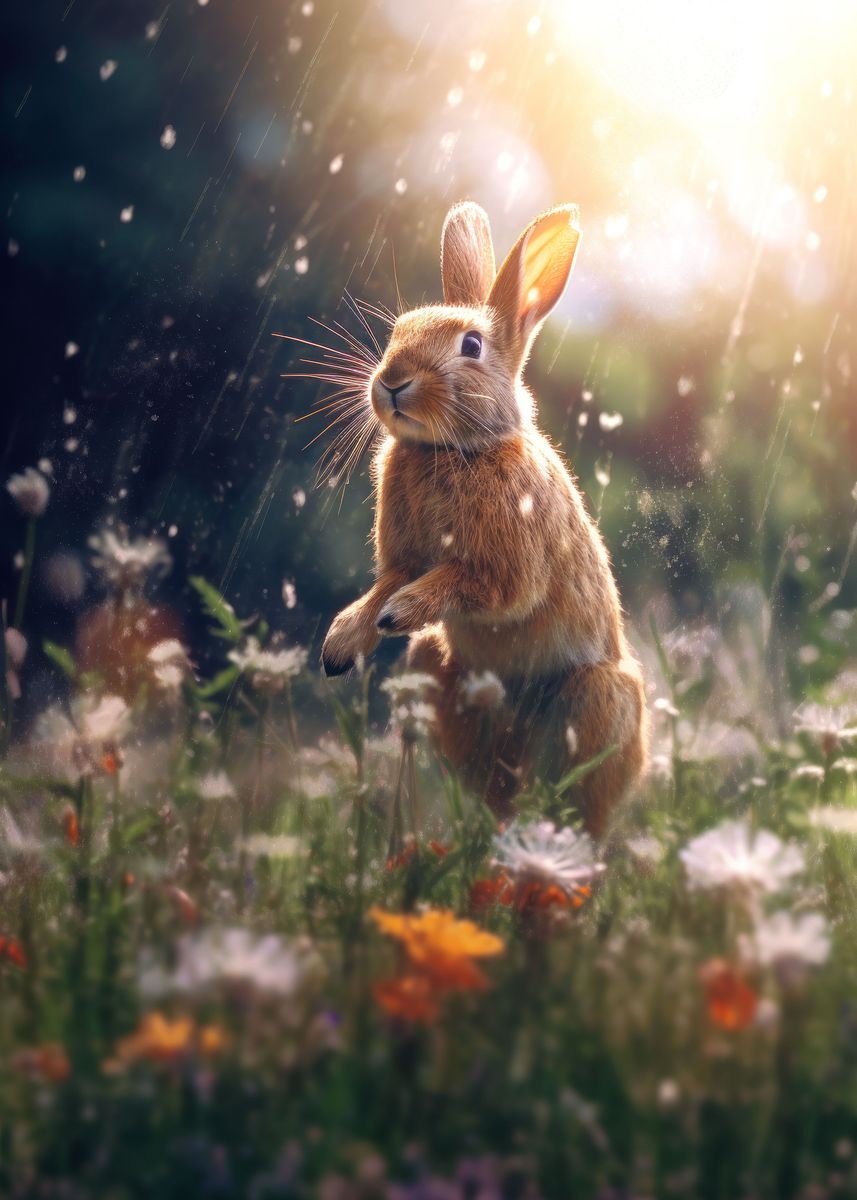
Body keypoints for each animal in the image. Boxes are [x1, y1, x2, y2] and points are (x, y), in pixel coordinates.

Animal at [320, 201, 646, 835]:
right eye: (398, 331)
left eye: (470, 345)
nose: (390, 381)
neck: (457, 449)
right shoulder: (403, 559)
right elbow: (385, 586)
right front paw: (341, 643)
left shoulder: (507, 565)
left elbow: (472, 585)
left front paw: (400, 613)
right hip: (439, 675)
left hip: (597, 699)